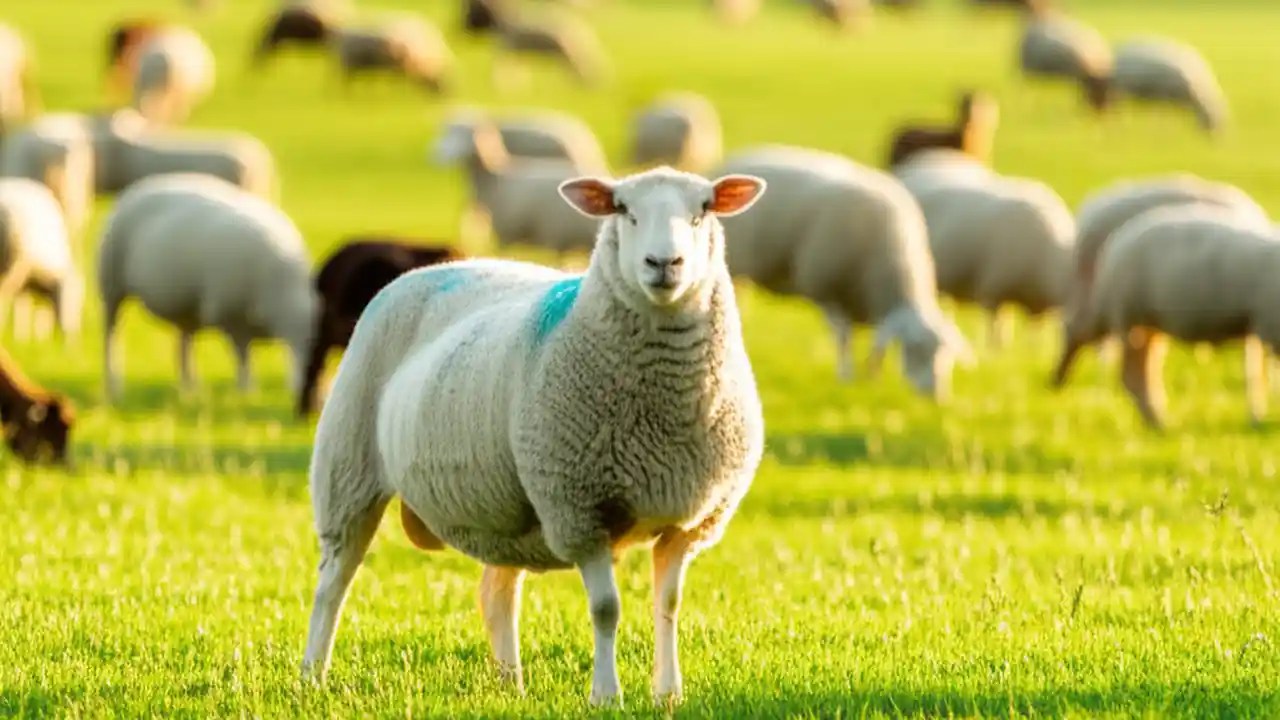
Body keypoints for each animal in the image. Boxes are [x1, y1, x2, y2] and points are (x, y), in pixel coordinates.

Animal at [0, 178, 83, 340]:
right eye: (73, 300)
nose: (71, 337)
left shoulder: (27, 280)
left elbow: (29, 308)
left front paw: (27, 338)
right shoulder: (15, 272)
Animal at [97, 174, 317, 402]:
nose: (314, 398)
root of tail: (141, 185)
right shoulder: (230, 316)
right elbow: (243, 357)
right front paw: (247, 393)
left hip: (186, 309)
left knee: (184, 343)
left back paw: (189, 390)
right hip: (111, 284)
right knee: (111, 335)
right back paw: (113, 387)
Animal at [716, 146, 971, 399]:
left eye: (946, 354)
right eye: (914, 347)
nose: (935, 396)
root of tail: (739, 156)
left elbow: (878, 345)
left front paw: (873, 378)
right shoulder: (826, 289)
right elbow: (843, 338)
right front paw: (846, 377)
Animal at [1054, 205, 1280, 429]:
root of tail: (1119, 239)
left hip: (1146, 323)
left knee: (1140, 368)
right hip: (1129, 315)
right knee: (1129, 374)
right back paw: (1157, 422)